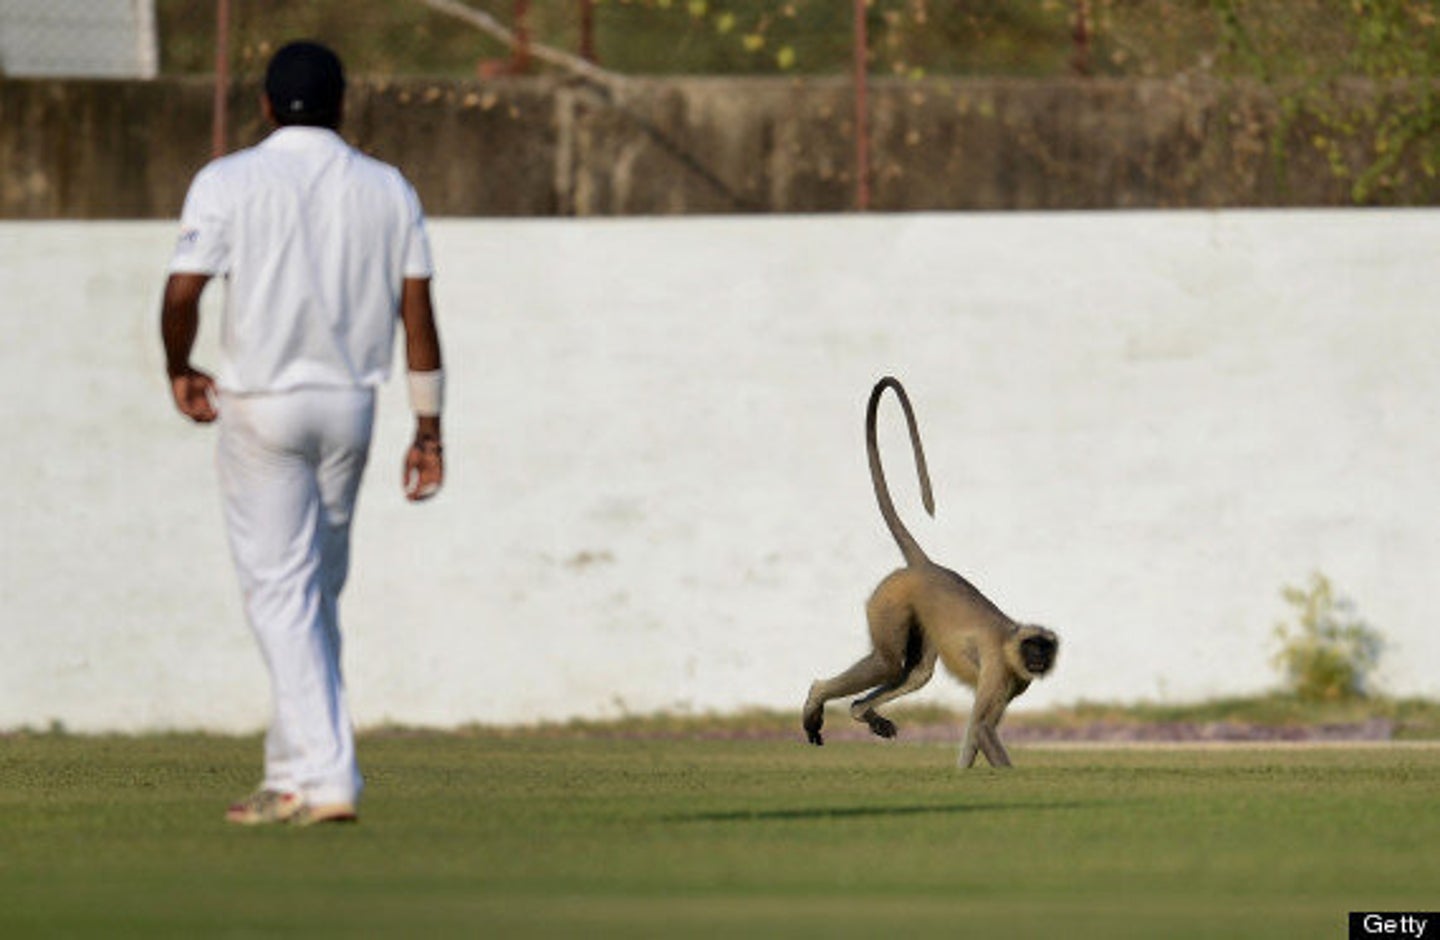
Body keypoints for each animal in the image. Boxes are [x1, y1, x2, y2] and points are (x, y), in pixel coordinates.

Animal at [802, 376, 1058, 768]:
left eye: (1044, 648)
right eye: (1033, 646)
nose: (1039, 659)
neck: (1009, 639)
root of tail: (925, 566)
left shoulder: (1016, 679)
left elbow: (973, 734)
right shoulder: (999, 668)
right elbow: (981, 727)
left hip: (920, 618)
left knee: (916, 674)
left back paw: (861, 711)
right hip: (889, 599)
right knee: (888, 664)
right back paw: (818, 695)